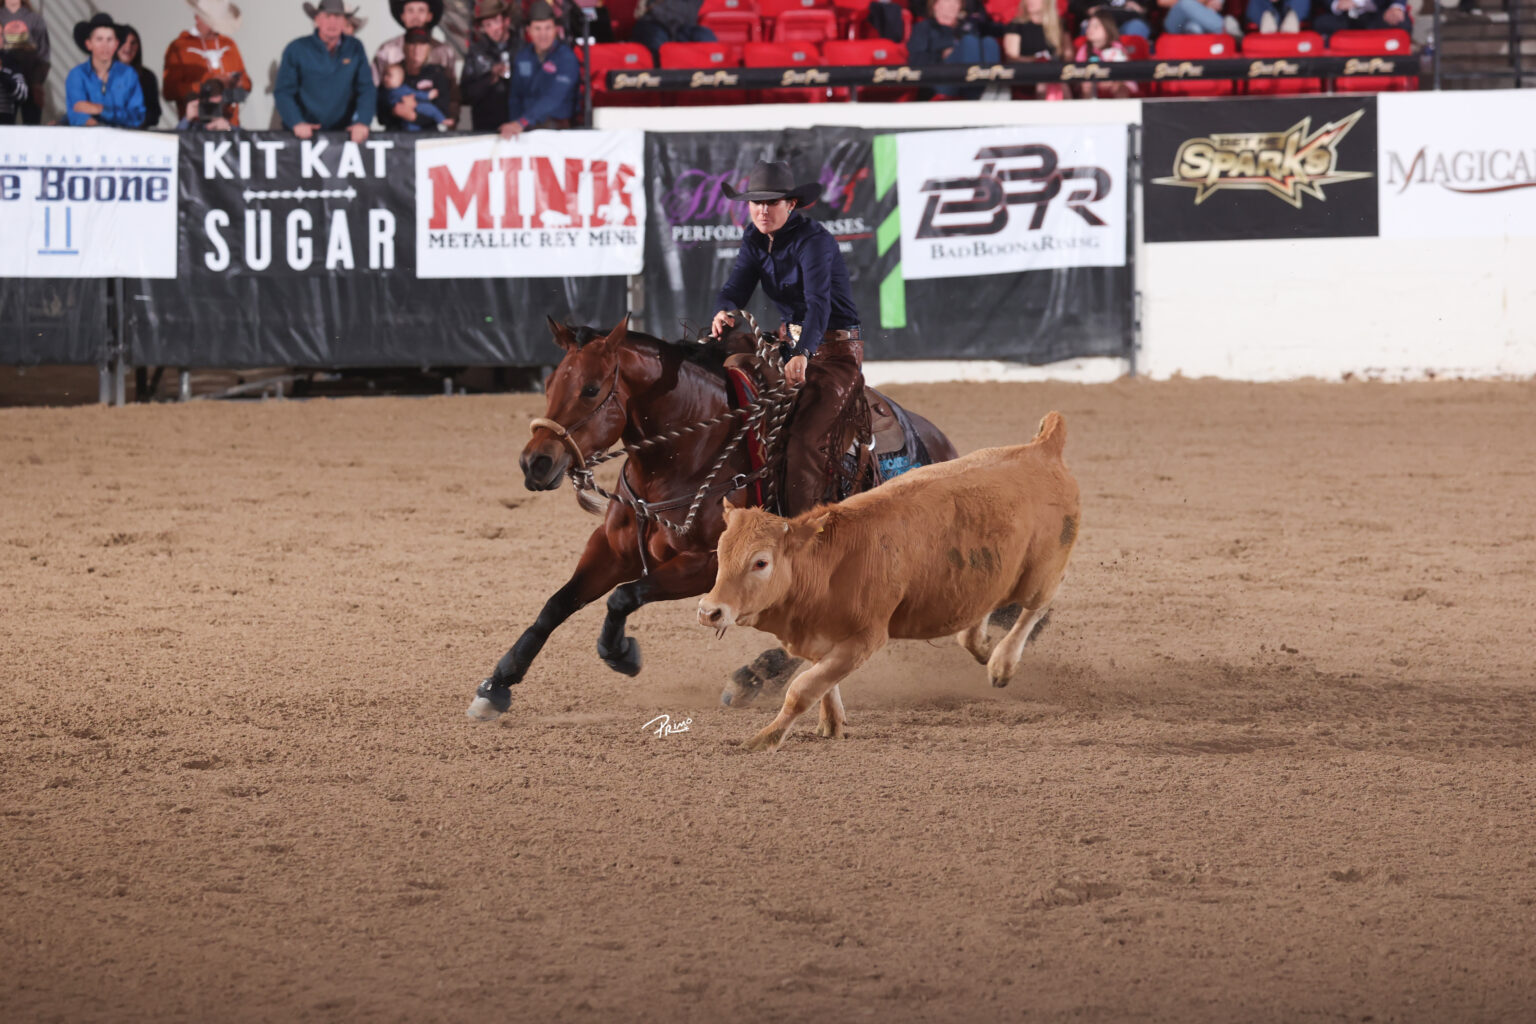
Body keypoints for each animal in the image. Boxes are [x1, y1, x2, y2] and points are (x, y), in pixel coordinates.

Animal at [465, 315, 959, 722]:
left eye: (590, 388)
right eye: (549, 382)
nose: (536, 462)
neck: (688, 453)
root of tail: (943, 448)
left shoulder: (708, 565)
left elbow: (624, 596)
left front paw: (620, 652)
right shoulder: (610, 550)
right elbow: (556, 605)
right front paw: (496, 686)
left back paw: (754, 677)